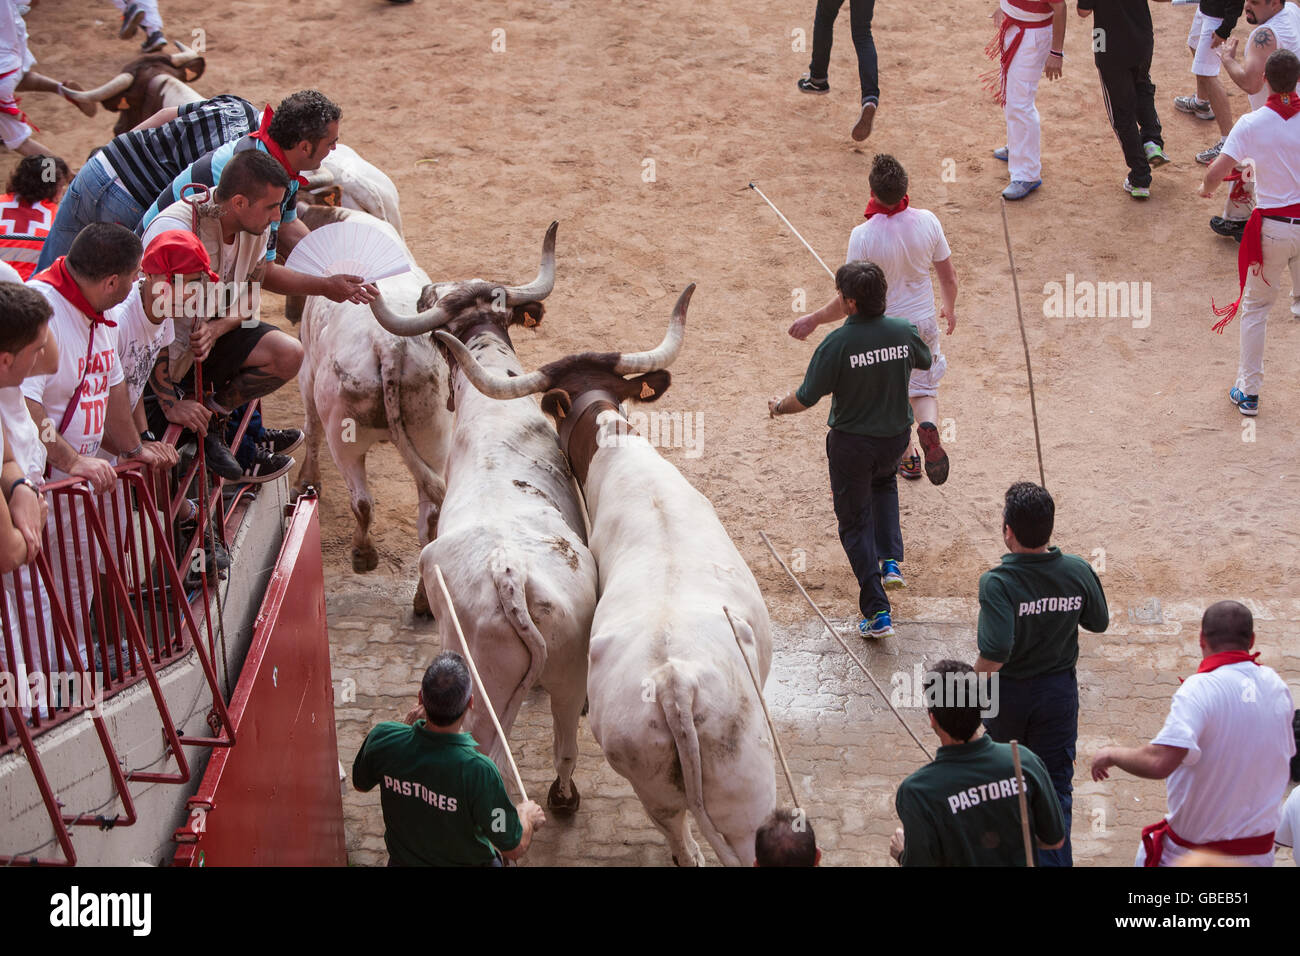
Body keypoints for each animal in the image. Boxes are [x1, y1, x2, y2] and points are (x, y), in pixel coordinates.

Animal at [294, 206, 451, 614]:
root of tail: (388, 344)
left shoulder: (306, 370)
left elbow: (310, 428)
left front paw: (307, 480)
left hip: (344, 439)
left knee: (362, 501)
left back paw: (363, 555)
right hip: (434, 436)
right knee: (429, 520)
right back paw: (423, 600)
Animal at [366, 222, 598, 814]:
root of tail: (508, 573)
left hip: (483, 690)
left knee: (487, 751)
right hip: (570, 673)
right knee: (566, 740)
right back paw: (564, 797)